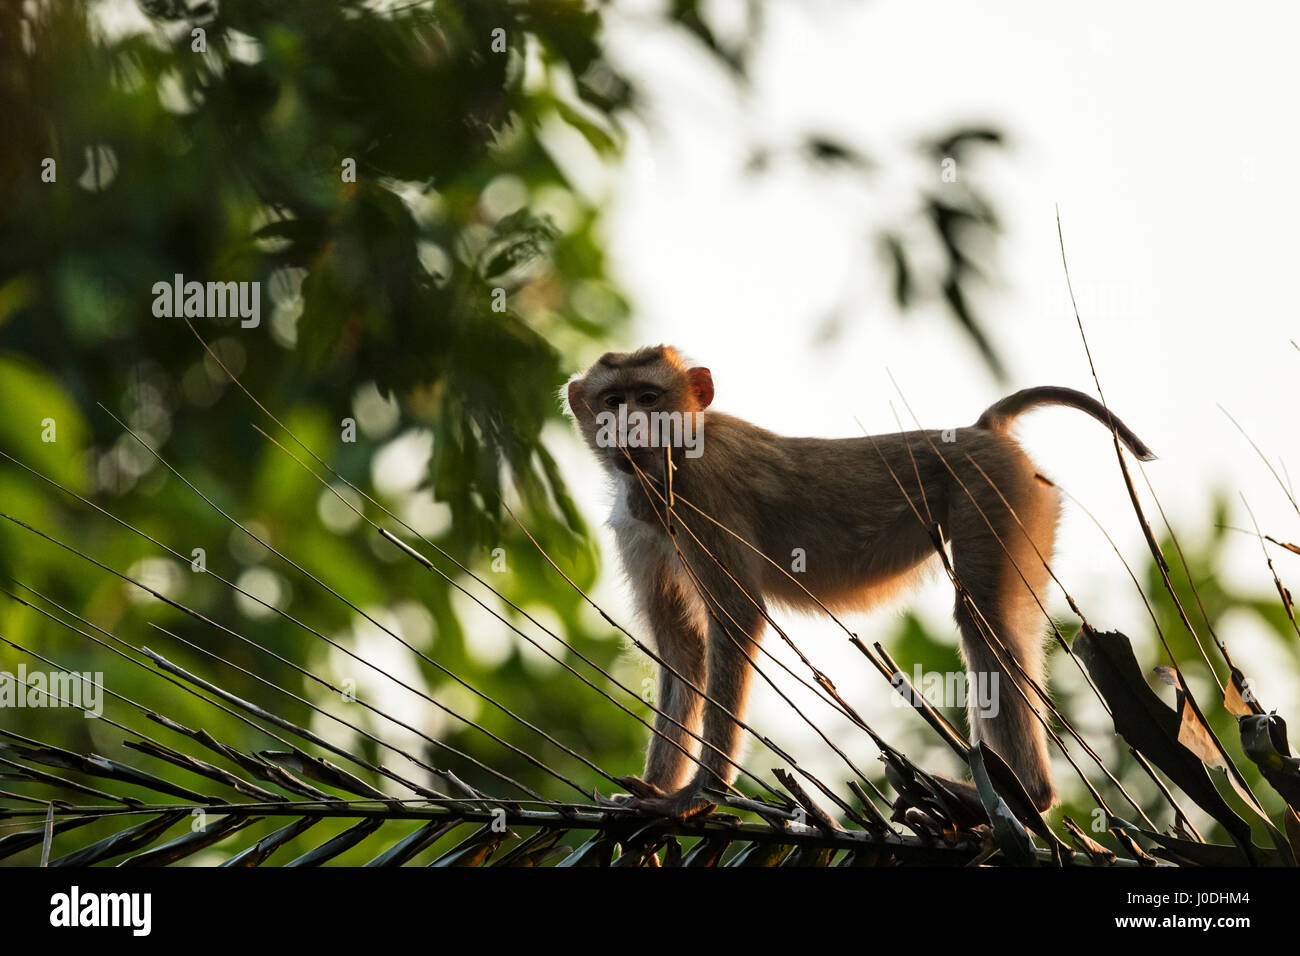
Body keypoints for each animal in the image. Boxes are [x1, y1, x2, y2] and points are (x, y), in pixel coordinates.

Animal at [565, 345, 1155, 819]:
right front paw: (658, 791)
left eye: (648, 397)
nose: (629, 426)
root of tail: (982, 429)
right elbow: (681, 648)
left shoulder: (700, 493)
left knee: (983, 617)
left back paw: (1023, 796)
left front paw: (699, 795)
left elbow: (736, 617)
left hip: (993, 491)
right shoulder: (640, 520)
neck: (676, 454)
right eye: (614, 400)